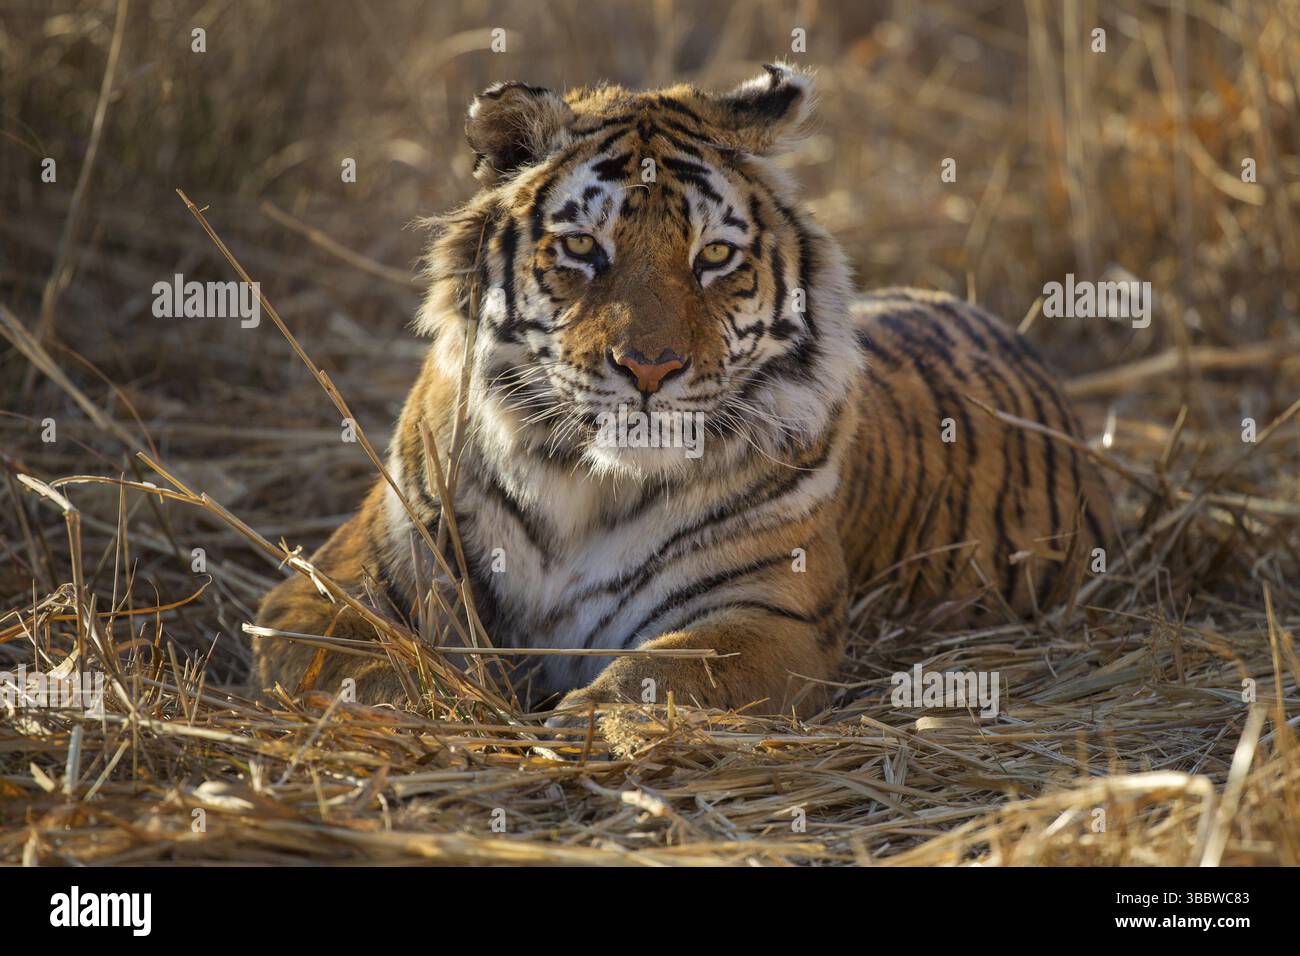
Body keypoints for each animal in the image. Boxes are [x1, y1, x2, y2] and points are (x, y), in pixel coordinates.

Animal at [252, 64, 1113, 721]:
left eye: (716, 256)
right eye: (581, 246)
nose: (650, 368)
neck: (581, 485)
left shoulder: (770, 613)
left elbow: (661, 673)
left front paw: (580, 722)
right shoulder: (331, 584)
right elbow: (373, 665)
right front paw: (462, 700)